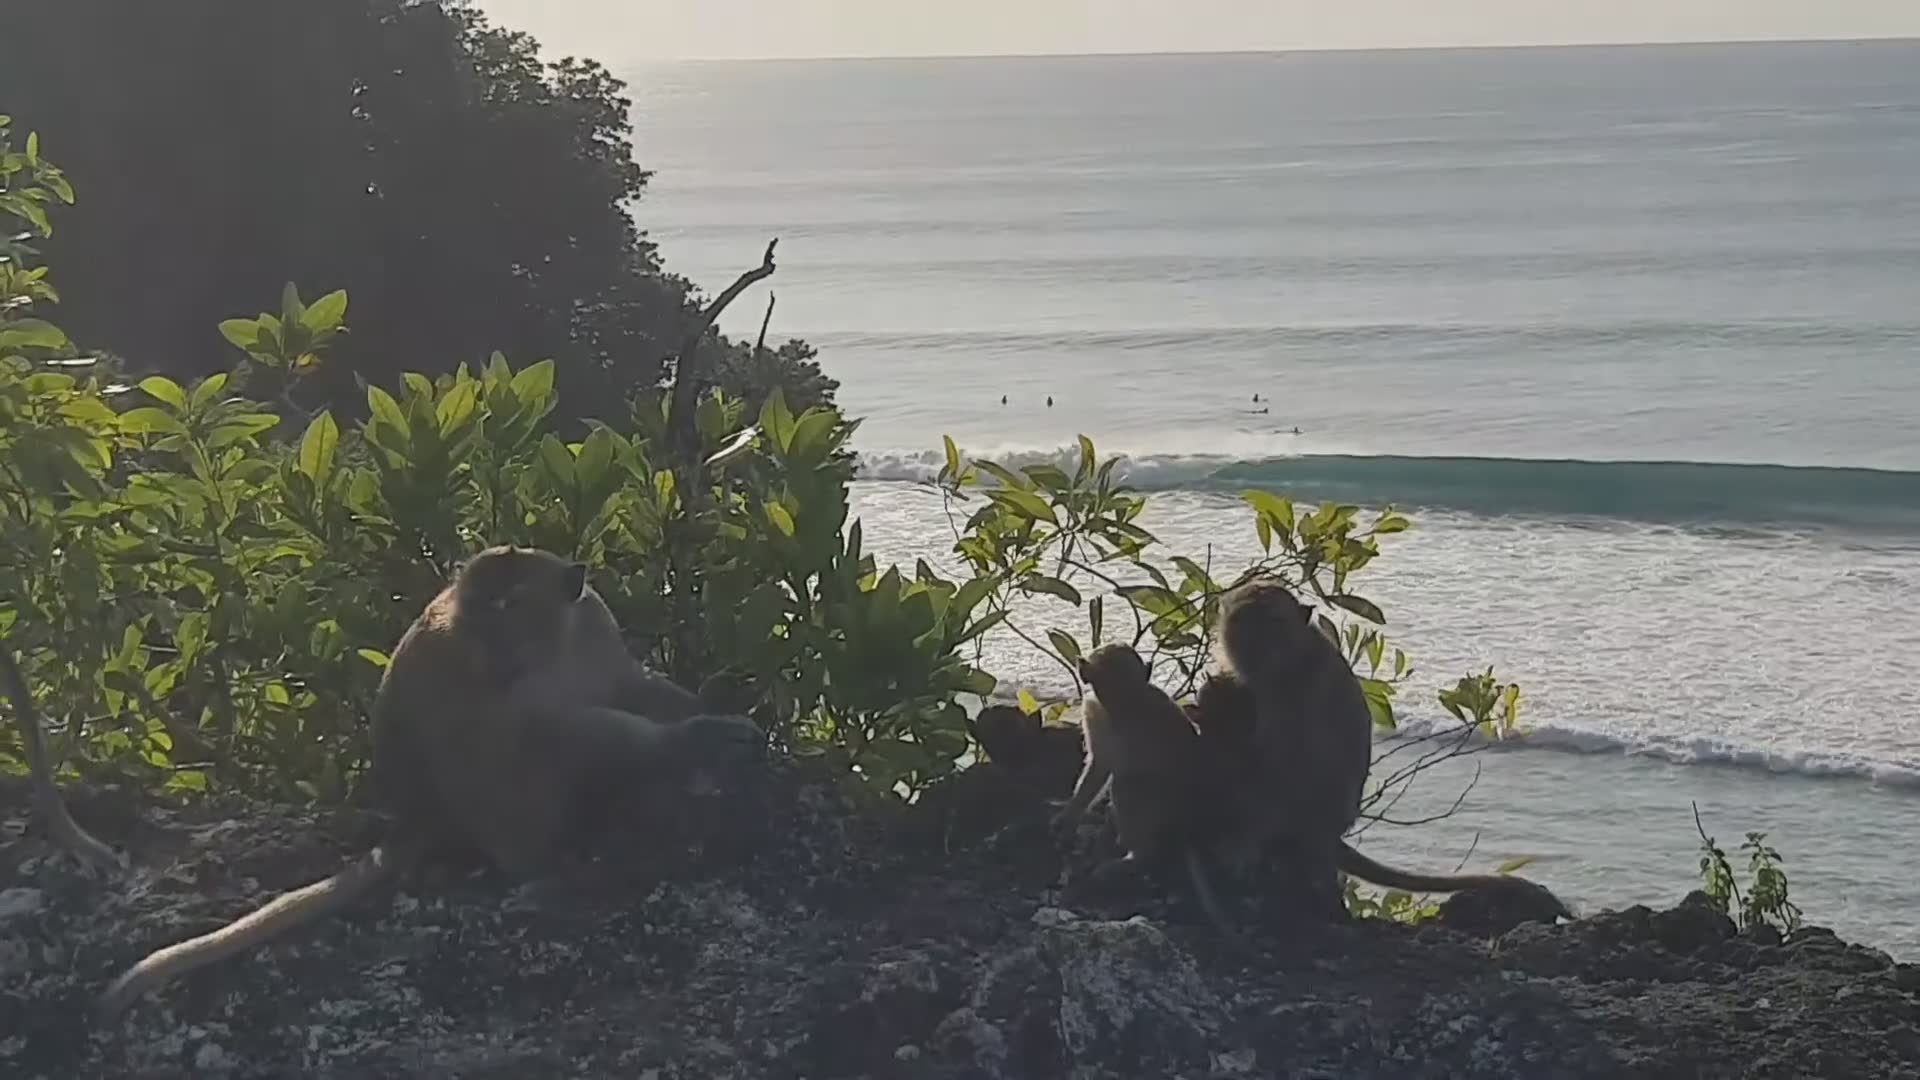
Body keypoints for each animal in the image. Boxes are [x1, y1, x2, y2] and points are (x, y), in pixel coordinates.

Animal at [95, 545, 763, 1022]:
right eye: (476, 615)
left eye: (508, 607)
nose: (490, 656)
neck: (551, 652)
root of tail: (413, 824)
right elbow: (556, 728)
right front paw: (687, 740)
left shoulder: (596, 632)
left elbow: (631, 685)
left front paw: (713, 719)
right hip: (490, 805)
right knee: (526, 745)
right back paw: (563, 854)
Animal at [1050, 643, 1235, 934]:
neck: (1124, 698)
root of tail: (1188, 829)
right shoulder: (1098, 714)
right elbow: (1099, 767)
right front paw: (1068, 818)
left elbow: (1115, 769)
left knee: (1128, 785)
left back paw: (1134, 859)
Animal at [1199, 573, 1571, 922]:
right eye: (1244, 622)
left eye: (1272, 623)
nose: (1253, 646)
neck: (1288, 656)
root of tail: (1329, 829)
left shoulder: (1288, 689)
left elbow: (1278, 759)